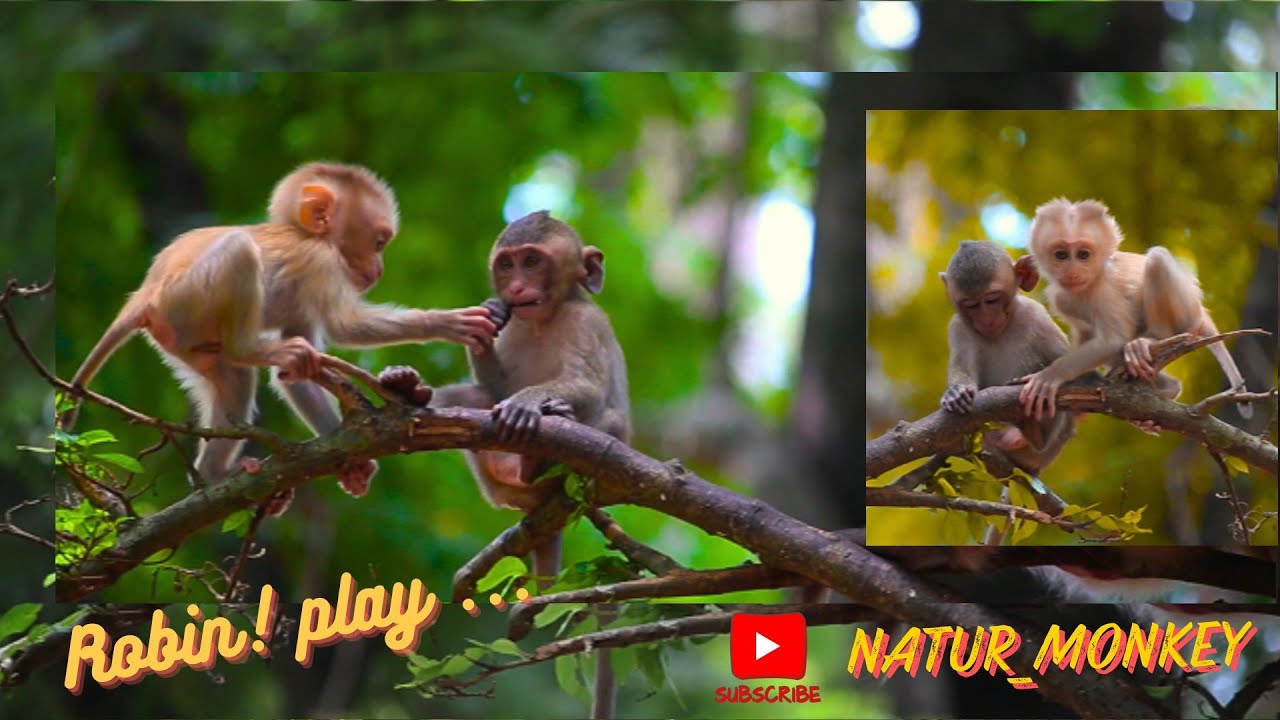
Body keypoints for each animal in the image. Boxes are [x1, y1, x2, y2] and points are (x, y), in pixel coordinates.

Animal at [60, 162, 498, 513]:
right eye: (377, 242)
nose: (378, 269)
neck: (308, 236)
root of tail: (144, 294)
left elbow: (298, 378)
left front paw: (351, 461)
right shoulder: (322, 263)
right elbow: (345, 325)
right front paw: (447, 323)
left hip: (182, 338)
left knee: (233, 379)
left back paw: (213, 473)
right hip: (185, 297)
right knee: (239, 251)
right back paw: (248, 348)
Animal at [940, 240, 1076, 476]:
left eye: (992, 299)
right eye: (970, 305)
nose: (986, 319)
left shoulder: (1037, 316)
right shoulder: (958, 326)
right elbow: (962, 366)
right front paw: (956, 392)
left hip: (1045, 452)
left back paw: (1029, 432)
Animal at [1019, 198, 1252, 423]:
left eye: (1083, 255)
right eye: (1061, 255)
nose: (1072, 272)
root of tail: (1202, 312)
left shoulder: (1104, 291)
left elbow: (1111, 341)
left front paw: (1050, 375)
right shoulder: (1062, 298)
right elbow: (1086, 334)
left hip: (1187, 311)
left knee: (1157, 259)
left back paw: (1151, 341)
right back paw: (1168, 387)